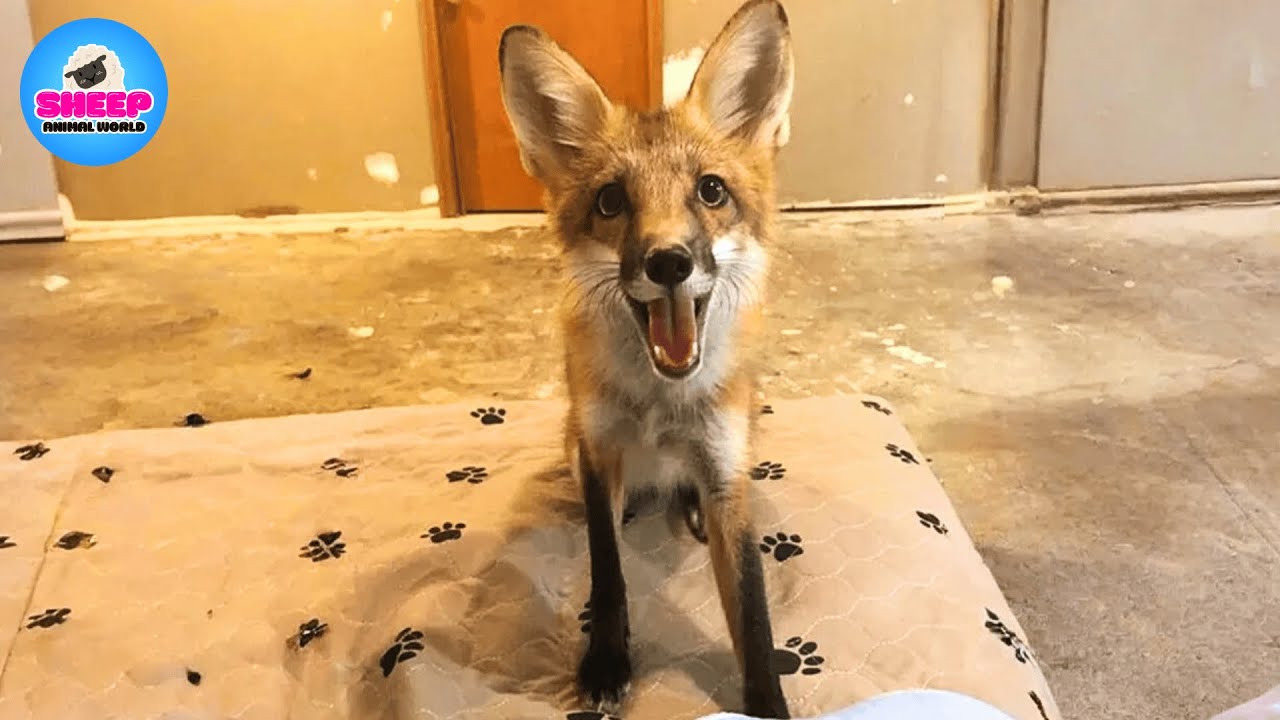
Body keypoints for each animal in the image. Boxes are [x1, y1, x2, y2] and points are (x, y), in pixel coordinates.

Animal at [497, 0, 796, 717]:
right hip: (573, 440)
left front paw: (766, 701)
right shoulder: (600, 449)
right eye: (611, 201)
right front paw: (607, 660)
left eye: (711, 192)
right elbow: (608, 575)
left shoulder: (725, 467)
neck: (663, 404)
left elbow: (752, 612)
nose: (668, 263)